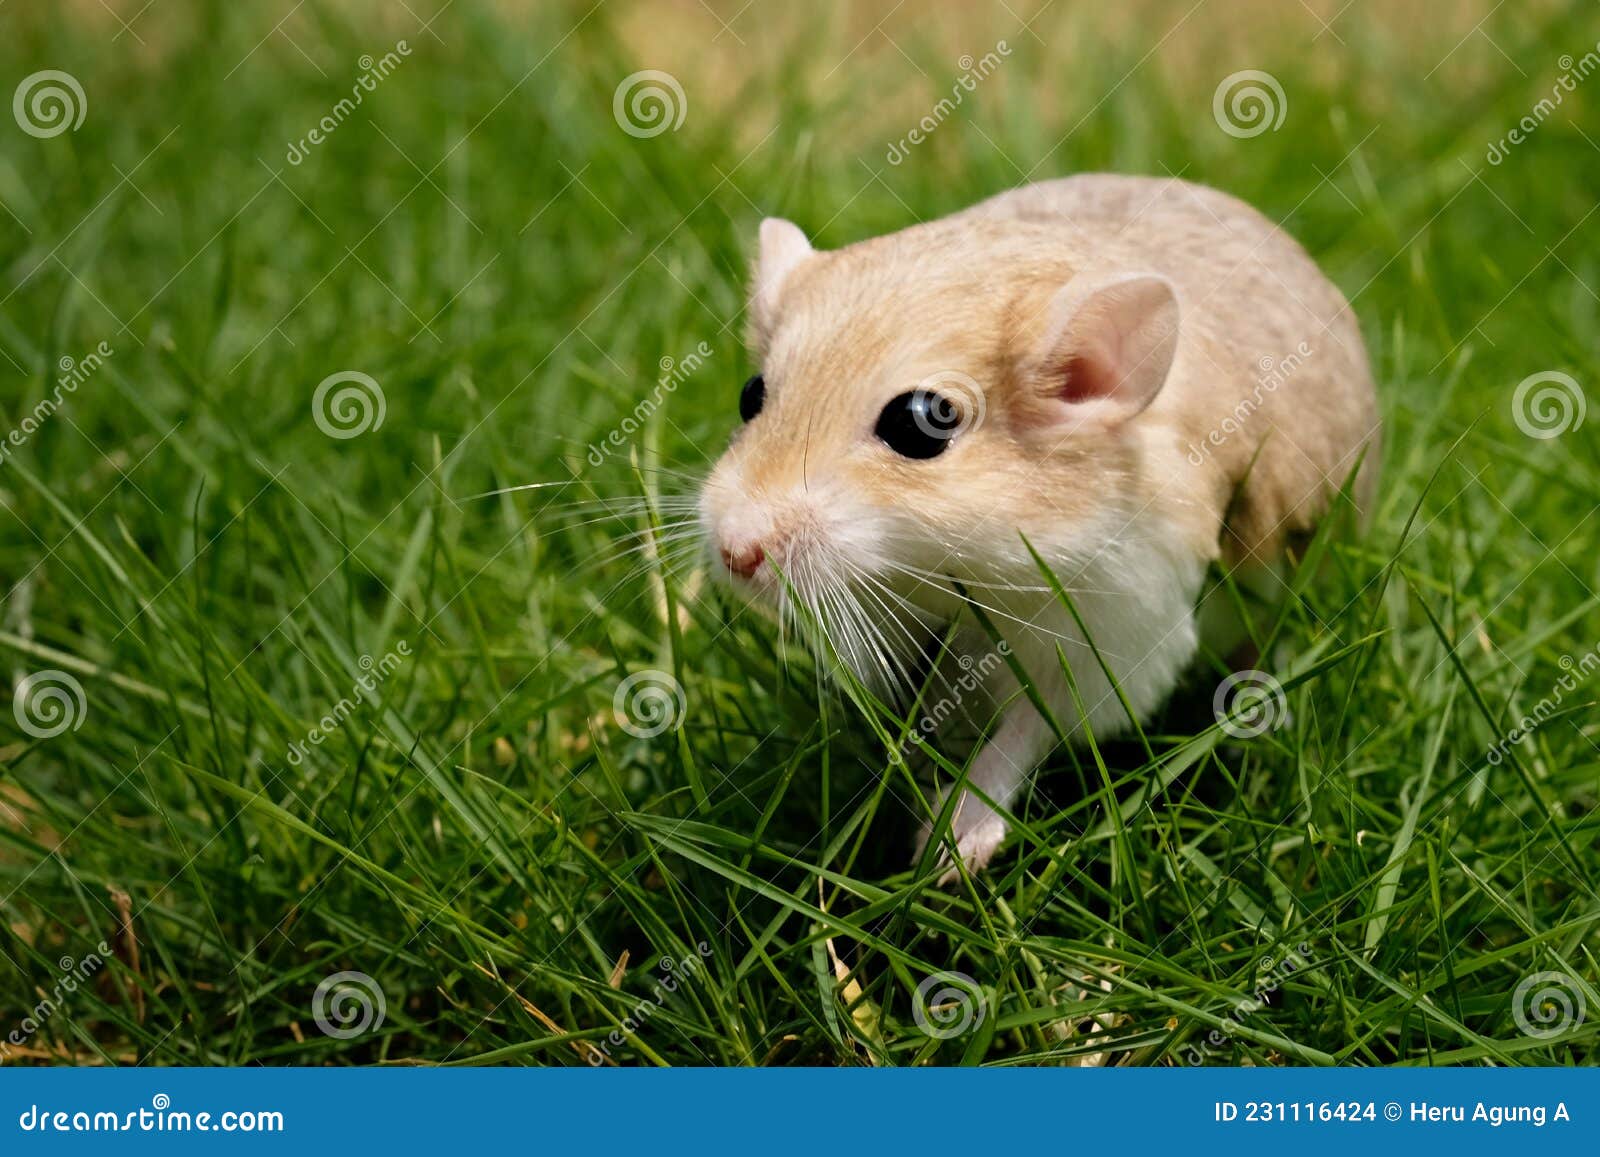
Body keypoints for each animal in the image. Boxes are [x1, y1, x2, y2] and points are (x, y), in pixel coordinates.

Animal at [698, 174, 1379, 878]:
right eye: (750, 395)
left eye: (920, 425)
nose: (735, 554)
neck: (955, 574)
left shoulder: (1112, 636)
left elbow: (1028, 732)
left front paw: (947, 855)